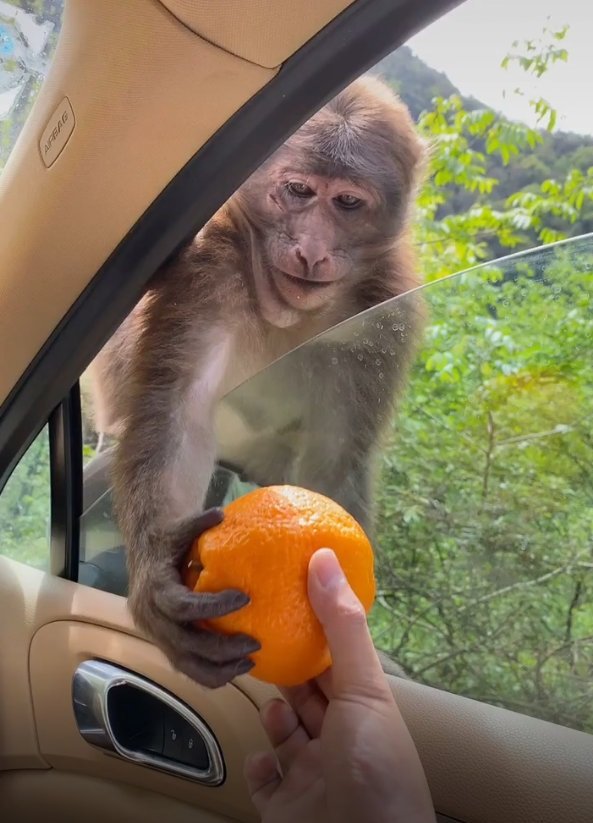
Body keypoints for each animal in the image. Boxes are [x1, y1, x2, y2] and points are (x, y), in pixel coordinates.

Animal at [86, 75, 426, 688]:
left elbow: (334, 461)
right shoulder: (208, 271)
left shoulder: (385, 320)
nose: (311, 249)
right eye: (297, 190)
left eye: (347, 202)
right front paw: (157, 578)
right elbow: (180, 414)